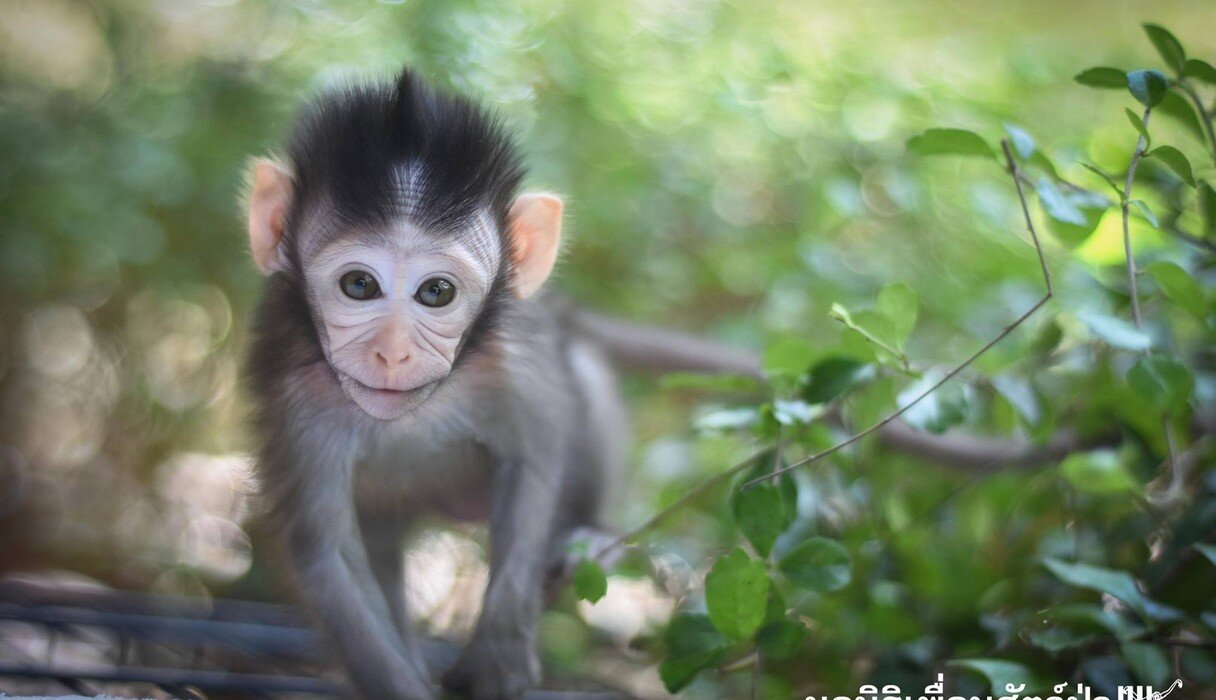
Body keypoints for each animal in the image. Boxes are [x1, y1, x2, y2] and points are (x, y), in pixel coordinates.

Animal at [243, 68, 761, 700]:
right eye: (359, 285)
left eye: (436, 292)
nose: (393, 353)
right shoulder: (295, 396)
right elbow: (327, 553)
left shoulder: (513, 365)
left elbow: (534, 463)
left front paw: (500, 652)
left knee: (581, 371)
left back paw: (590, 536)